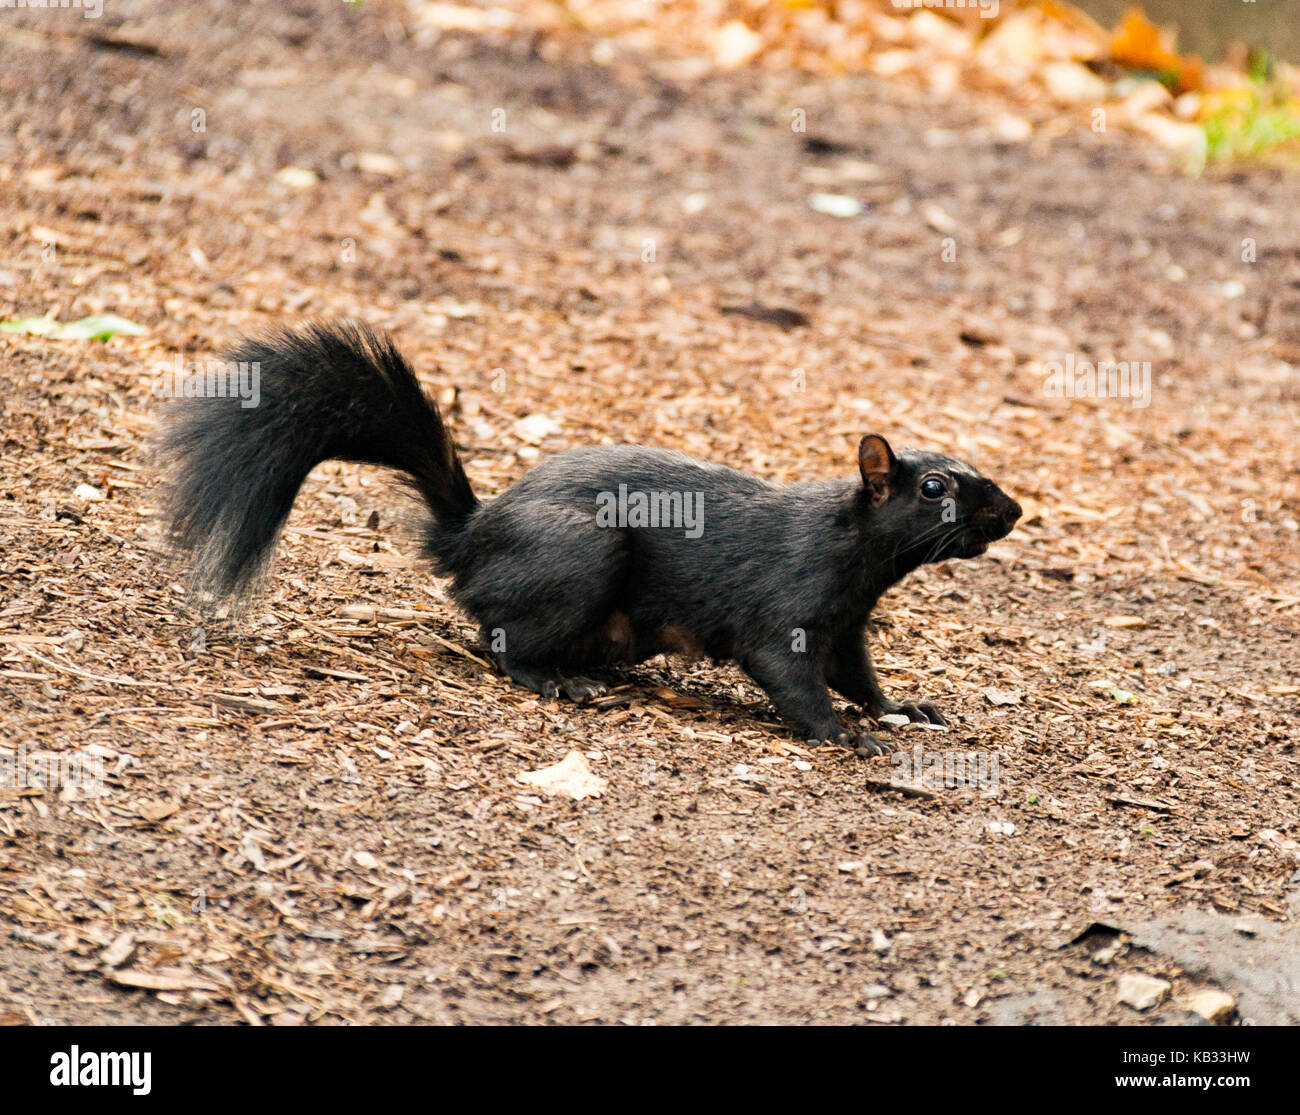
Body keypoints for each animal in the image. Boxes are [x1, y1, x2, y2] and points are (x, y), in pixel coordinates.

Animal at [161, 321, 1021, 757]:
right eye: (935, 489)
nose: (1010, 512)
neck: (857, 553)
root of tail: (471, 538)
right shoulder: (788, 604)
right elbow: (792, 677)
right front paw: (848, 737)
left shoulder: (846, 624)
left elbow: (858, 675)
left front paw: (901, 709)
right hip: (580, 556)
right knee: (501, 638)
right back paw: (557, 681)